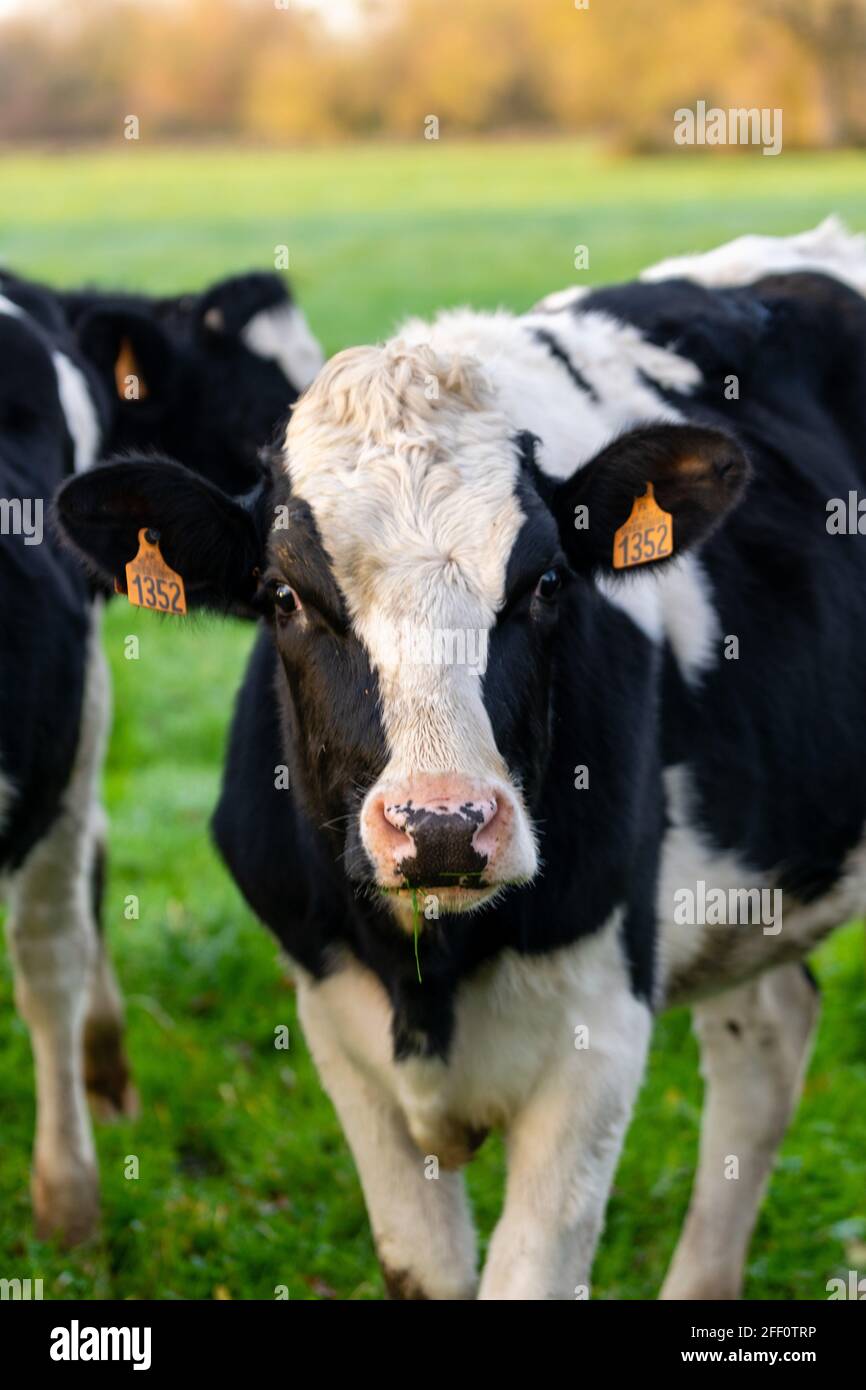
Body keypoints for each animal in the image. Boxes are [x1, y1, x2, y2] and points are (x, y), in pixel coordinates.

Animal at [56, 220, 866, 1298]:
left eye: (546, 583)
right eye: (283, 596)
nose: (440, 825)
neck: (431, 978)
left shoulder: (601, 1029)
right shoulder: (333, 1020)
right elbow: (425, 1269)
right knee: (767, 1039)